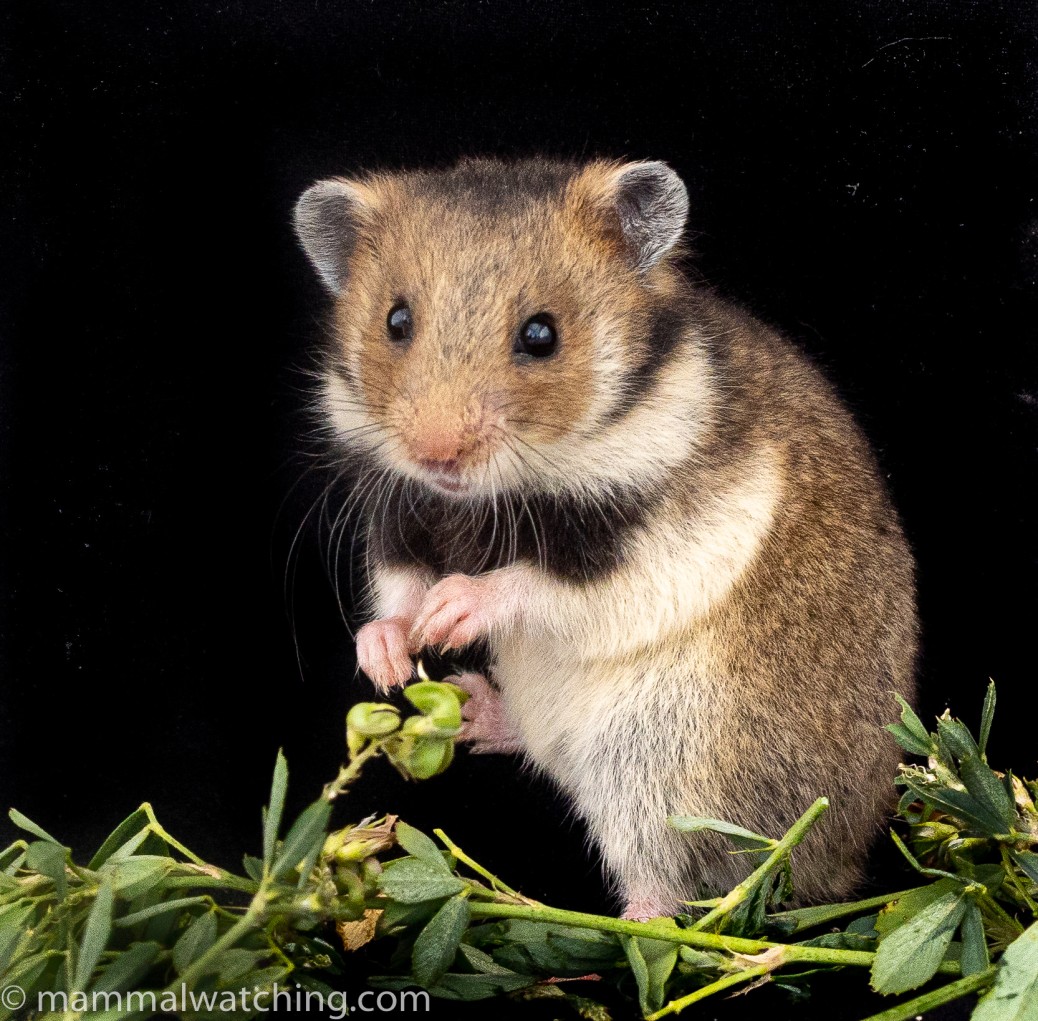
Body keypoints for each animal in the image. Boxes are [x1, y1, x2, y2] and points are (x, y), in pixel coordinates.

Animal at [292, 157, 918, 920]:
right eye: (396, 320)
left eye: (542, 334)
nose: (437, 454)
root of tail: (843, 865)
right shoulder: (401, 513)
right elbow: (399, 588)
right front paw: (388, 654)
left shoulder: (663, 551)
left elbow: (537, 586)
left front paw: (453, 609)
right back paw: (473, 707)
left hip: (661, 763)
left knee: (670, 882)